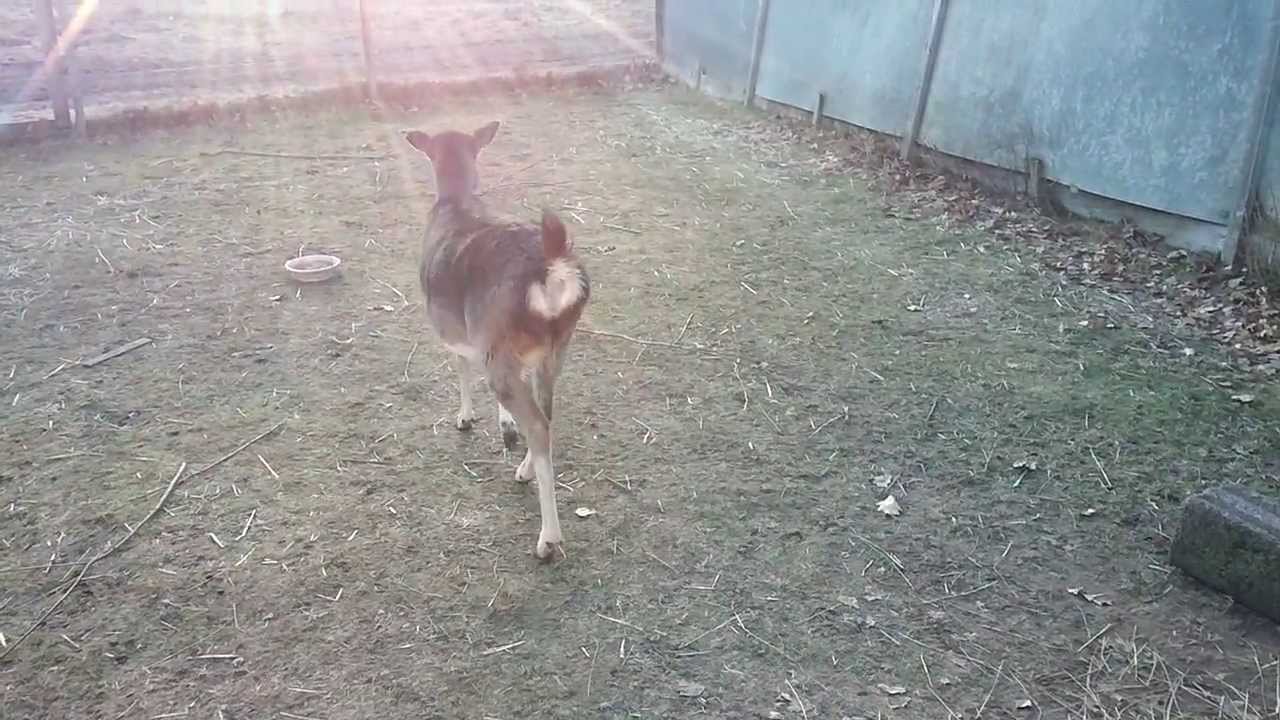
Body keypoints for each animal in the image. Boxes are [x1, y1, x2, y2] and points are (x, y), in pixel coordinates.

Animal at [404, 121, 590, 561]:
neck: (455, 201)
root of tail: (552, 271)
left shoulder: (455, 328)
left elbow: (461, 366)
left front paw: (466, 418)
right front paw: (504, 425)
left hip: (501, 347)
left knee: (537, 423)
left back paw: (548, 539)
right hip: (557, 347)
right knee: (547, 412)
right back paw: (524, 468)